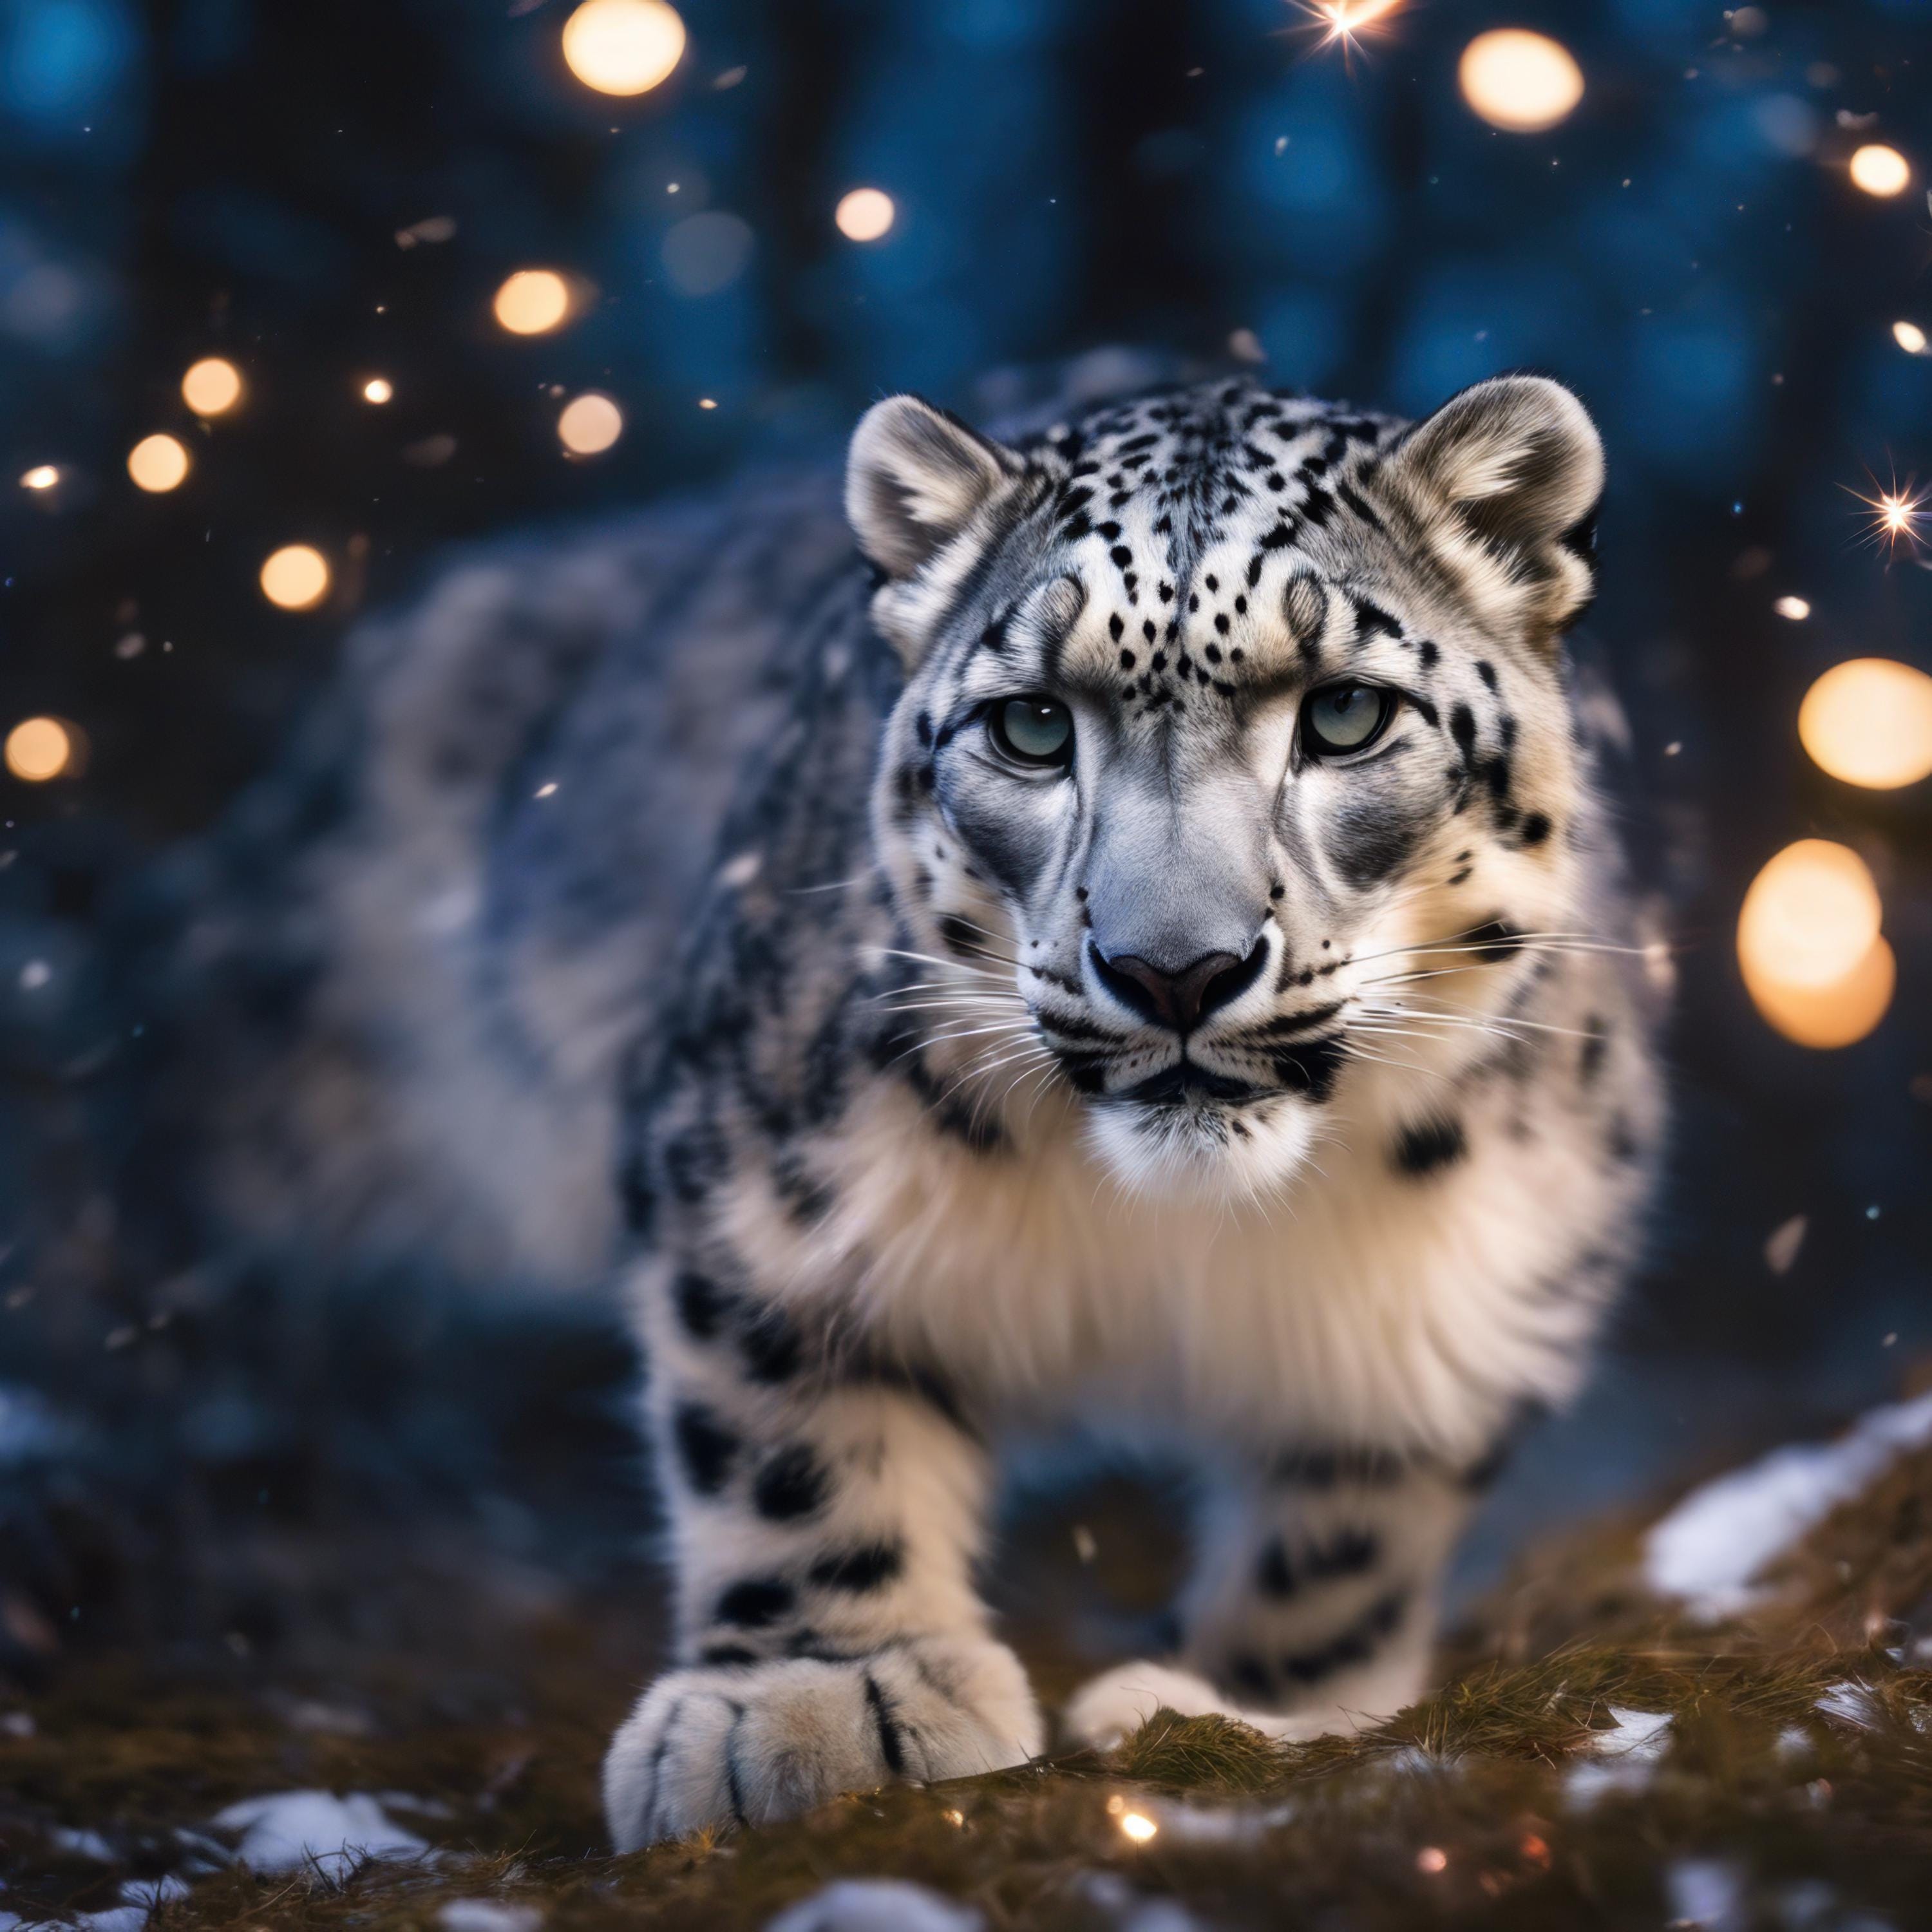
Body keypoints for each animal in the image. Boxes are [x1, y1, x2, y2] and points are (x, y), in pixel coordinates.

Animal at [595, 369, 1666, 1848]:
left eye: (1347, 715)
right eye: (1033, 725)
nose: (1177, 970)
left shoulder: (1489, 1267)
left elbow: (1353, 1525)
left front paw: (1255, 1709)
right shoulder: (755, 1174)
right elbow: (782, 1435)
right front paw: (816, 1698)